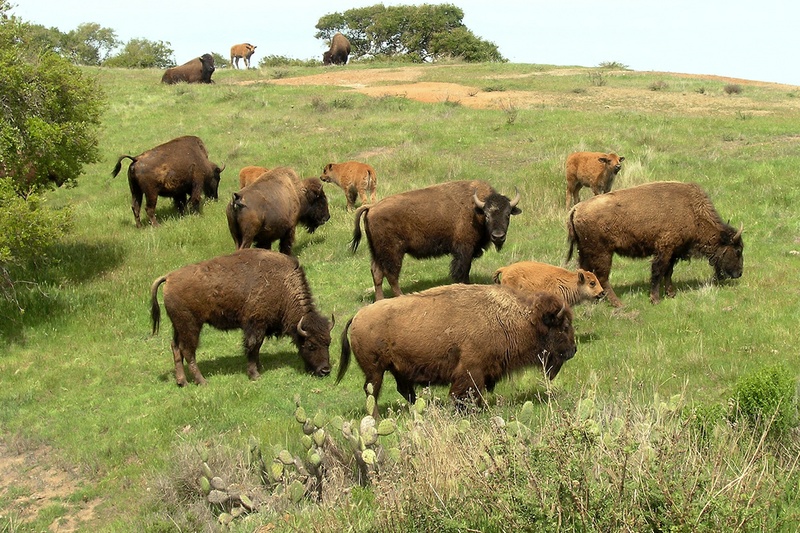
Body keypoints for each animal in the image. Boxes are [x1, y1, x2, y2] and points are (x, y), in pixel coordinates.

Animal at [150, 249, 334, 386]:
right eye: (310, 345)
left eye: (328, 342)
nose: (325, 370)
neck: (283, 284)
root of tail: (169, 277)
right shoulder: (255, 324)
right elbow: (252, 346)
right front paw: (254, 374)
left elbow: (257, 347)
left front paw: (259, 367)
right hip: (191, 326)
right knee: (187, 351)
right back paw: (202, 381)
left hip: (178, 326)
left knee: (175, 347)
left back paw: (182, 382)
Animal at [337, 284, 576, 417]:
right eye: (564, 326)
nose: (573, 350)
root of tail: (357, 316)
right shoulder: (471, 371)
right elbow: (465, 392)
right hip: (375, 371)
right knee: (372, 392)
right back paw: (377, 418)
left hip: (397, 370)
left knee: (404, 390)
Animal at [350, 180, 521, 300]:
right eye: (487, 215)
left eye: (507, 214)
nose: (498, 236)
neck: (475, 209)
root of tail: (372, 207)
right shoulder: (464, 250)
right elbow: (463, 271)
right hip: (394, 252)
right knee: (391, 274)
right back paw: (400, 296)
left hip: (376, 252)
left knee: (377, 273)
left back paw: (380, 300)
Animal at [567, 181, 744, 306]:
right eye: (738, 251)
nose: (739, 273)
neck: (692, 211)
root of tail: (576, 209)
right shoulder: (664, 250)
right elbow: (658, 272)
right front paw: (655, 299)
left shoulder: (673, 252)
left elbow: (668, 272)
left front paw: (671, 294)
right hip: (603, 253)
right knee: (603, 277)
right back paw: (618, 304)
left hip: (585, 251)